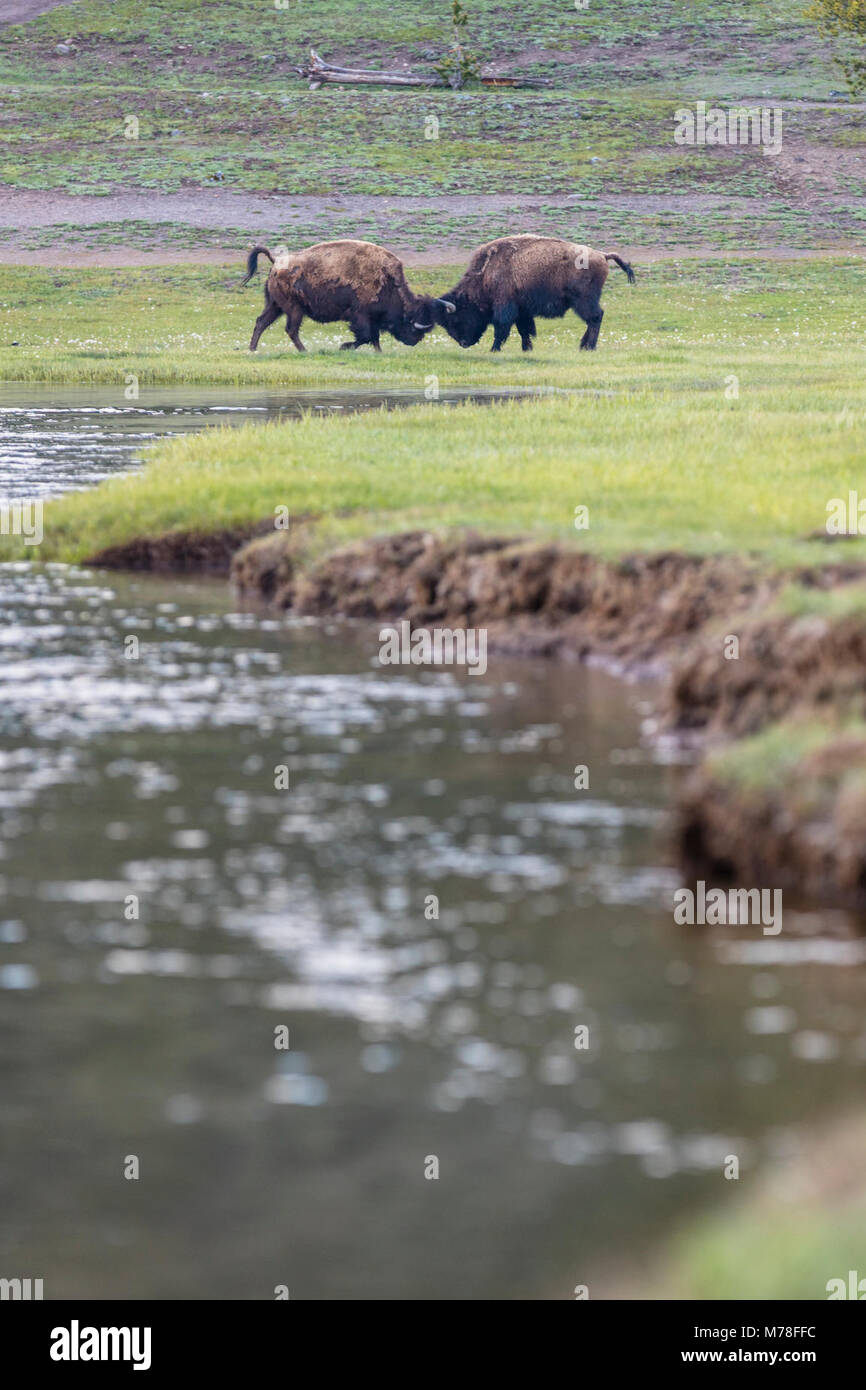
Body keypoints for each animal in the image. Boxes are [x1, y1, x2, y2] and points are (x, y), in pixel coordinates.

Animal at [242, 239, 455, 352]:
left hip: (276, 306)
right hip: (294, 310)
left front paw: (378, 352)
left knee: (261, 322)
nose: (414, 341)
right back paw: (304, 351)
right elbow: (366, 336)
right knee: (291, 329)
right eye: (411, 323)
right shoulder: (360, 316)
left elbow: (374, 338)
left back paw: (253, 349)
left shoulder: (372, 319)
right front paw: (344, 346)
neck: (388, 283)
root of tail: (277, 262)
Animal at [431, 234, 635, 352]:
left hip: (583, 301)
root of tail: (602, 255)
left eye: (456, 319)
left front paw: (494, 349)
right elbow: (524, 330)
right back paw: (583, 346)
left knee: (595, 318)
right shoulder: (522, 310)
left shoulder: (505, 306)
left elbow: (502, 328)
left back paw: (589, 347)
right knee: (594, 319)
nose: (463, 343)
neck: (485, 274)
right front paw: (526, 349)